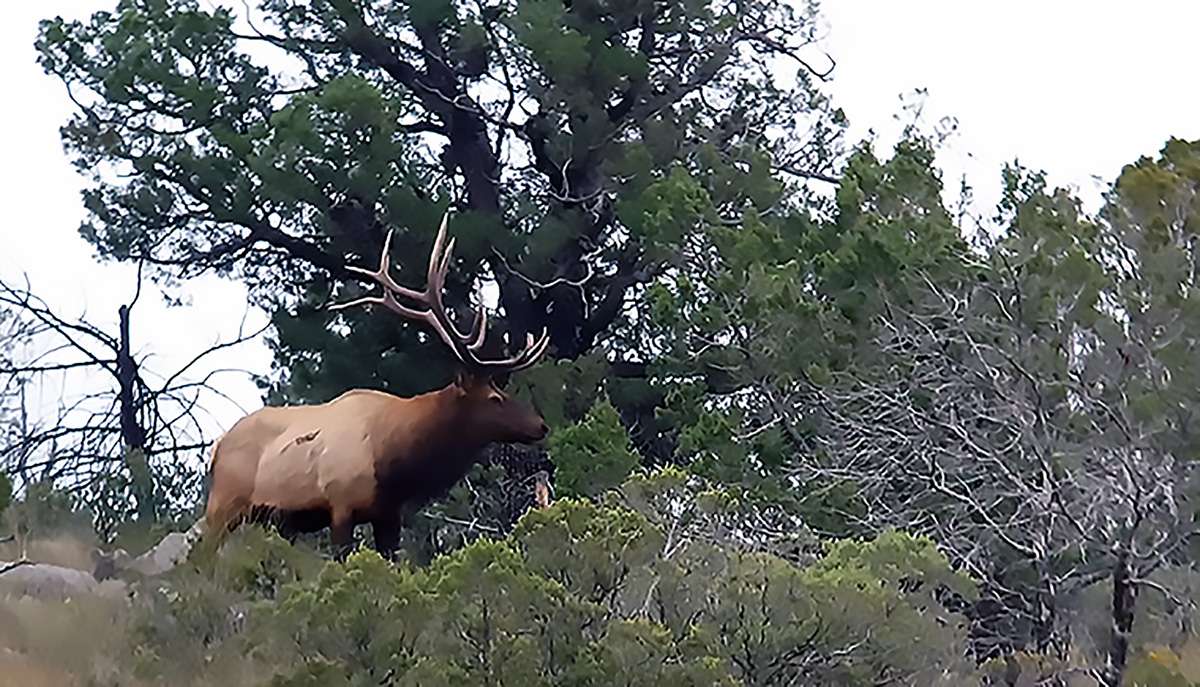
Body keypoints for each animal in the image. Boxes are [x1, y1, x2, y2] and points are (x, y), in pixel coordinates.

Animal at [203, 212, 551, 560]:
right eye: (494, 397)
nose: (541, 425)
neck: (394, 464)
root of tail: (216, 447)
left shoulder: (388, 515)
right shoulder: (340, 505)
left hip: (273, 520)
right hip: (223, 505)